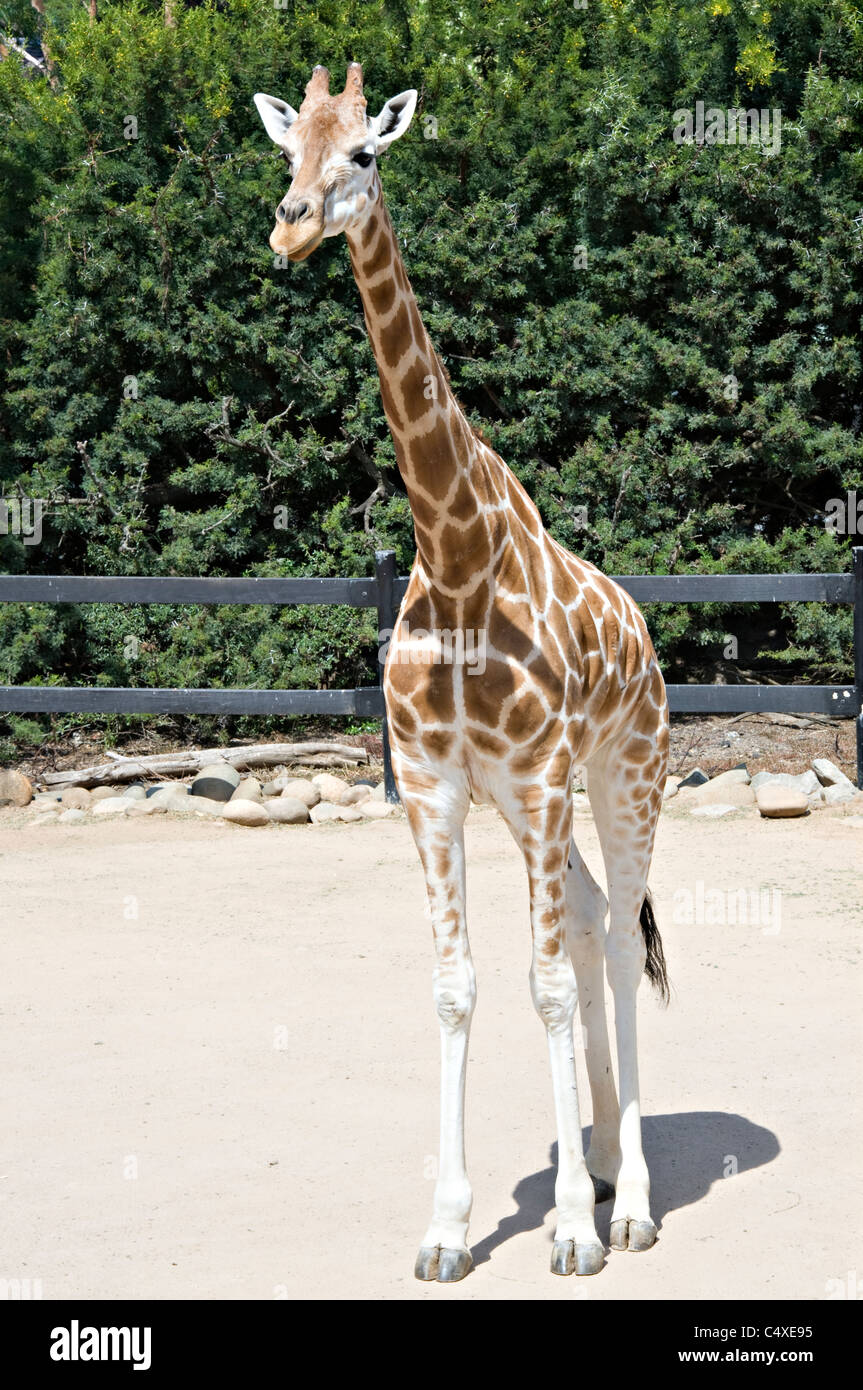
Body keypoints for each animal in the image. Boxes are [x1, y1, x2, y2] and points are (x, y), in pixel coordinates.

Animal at [254, 64, 670, 1283]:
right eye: (287, 150)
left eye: (363, 155)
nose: (289, 226)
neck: (451, 551)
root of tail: (642, 629)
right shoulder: (439, 791)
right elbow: (456, 989)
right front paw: (446, 1227)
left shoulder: (536, 780)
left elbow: (542, 985)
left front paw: (572, 1233)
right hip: (536, 804)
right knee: (589, 923)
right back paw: (597, 1158)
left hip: (625, 774)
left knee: (613, 943)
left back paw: (629, 1201)